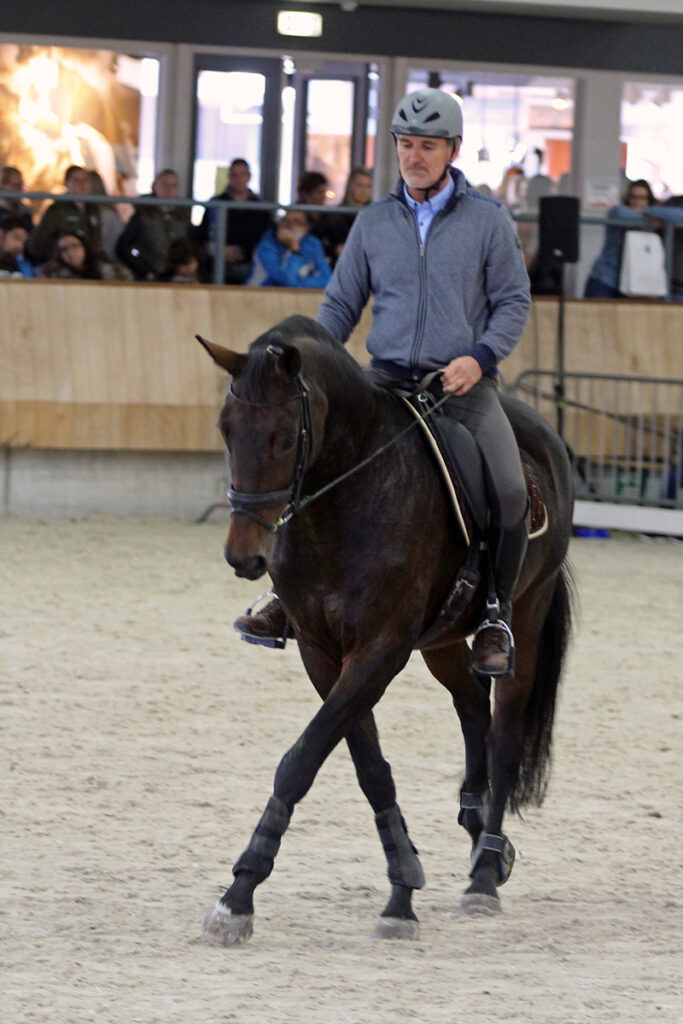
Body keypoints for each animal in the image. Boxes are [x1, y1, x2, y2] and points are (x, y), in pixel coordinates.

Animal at [197, 314, 574, 945]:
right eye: (227, 429)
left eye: (284, 438)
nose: (243, 556)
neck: (346, 501)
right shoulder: (325, 653)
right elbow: (370, 769)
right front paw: (403, 884)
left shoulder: (379, 650)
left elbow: (300, 761)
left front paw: (239, 894)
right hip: (443, 640)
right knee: (472, 707)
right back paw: (478, 833)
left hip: (526, 607)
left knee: (501, 735)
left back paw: (484, 876)